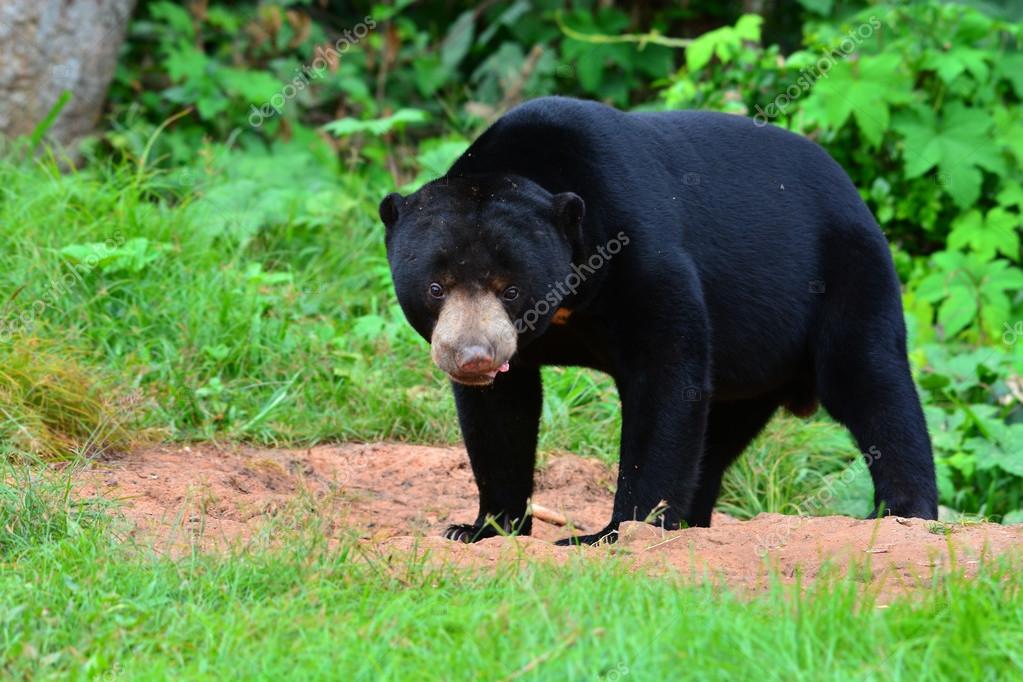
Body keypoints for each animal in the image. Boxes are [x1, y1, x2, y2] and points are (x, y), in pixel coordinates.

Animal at [379, 96, 938, 545]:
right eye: (436, 287)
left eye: (510, 289)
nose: (473, 357)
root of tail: (856, 195)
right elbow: (500, 413)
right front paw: (480, 528)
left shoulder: (639, 248)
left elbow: (665, 375)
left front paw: (612, 533)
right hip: (750, 365)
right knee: (718, 435)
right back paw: (692, 523)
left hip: (847, 273)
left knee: (869, 379)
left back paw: (904, 516)